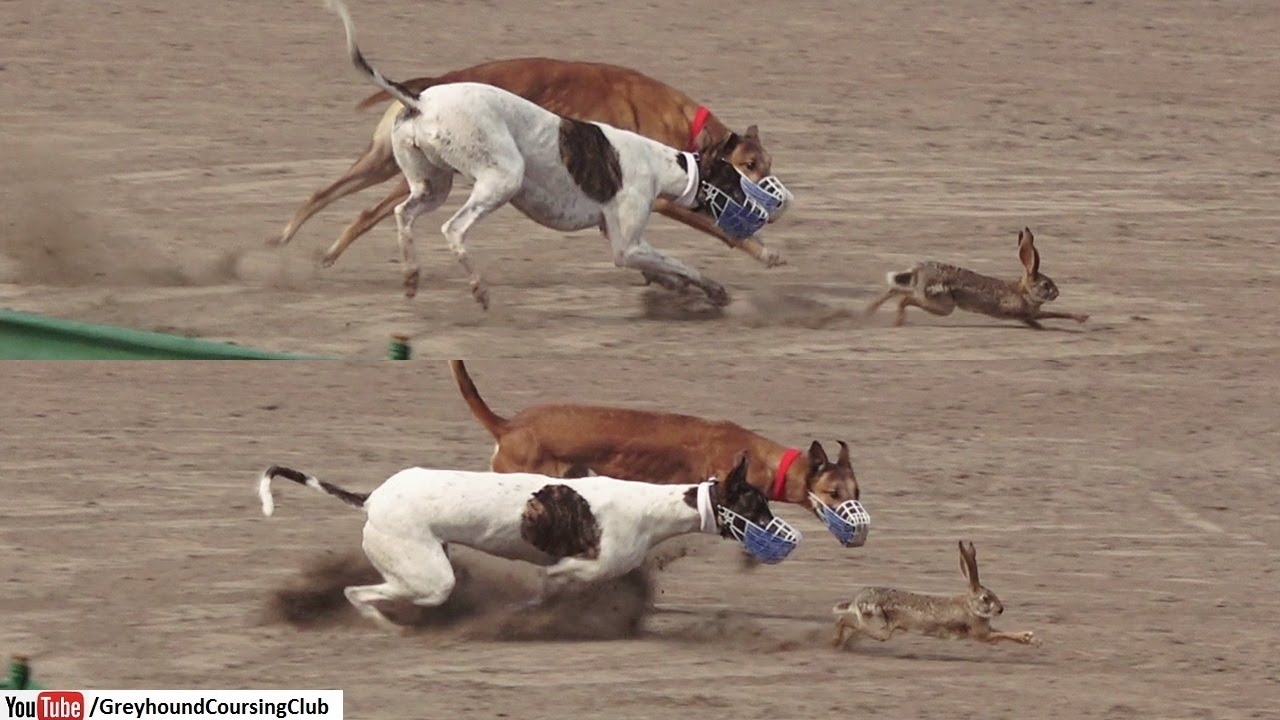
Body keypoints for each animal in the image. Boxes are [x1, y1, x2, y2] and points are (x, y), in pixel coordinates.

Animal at [831, 541, 1040, 650]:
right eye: (985, 598)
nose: (1001, 609)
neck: (970, 607)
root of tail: (857, 600)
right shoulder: (980, 634)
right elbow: (1000, 635)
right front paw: (1030, 638)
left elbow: (1003, 631)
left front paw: (1030, 638)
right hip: (880, 627)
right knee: (844, 620)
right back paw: (836, 643)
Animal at [865, 227, 1089, 329]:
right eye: (1046, 284)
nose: (1057, 293)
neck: (1024, 292)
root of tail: (920, 270)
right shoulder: (1020, 311)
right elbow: (1051, 314)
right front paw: (1081, 318)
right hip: (942, 305)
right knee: (904, 299)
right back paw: (898, 321)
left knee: (896, 289)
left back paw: (870, 310)